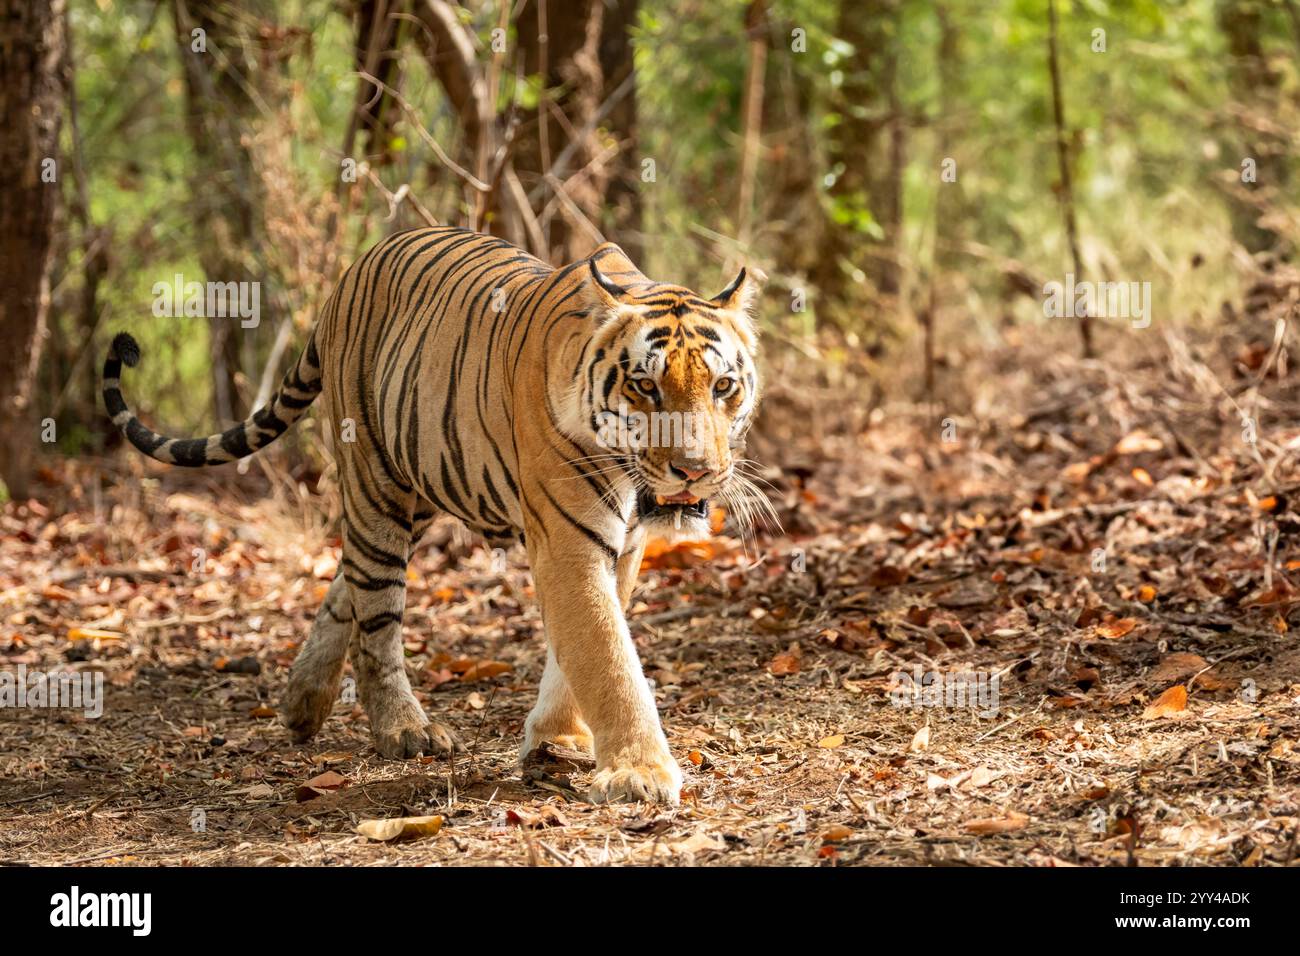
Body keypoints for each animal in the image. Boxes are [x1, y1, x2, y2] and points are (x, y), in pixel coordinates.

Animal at [102, 226, 767, 805]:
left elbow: (576, 648)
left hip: (421, 484)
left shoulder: (619, 546)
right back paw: (403, 729)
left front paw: (558, 739)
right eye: (645, 388)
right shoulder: (570, 541)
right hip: (375, 487)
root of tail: (351, 273)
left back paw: (302, 700)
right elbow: (606, 656)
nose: (694, 470)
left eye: (723, 386)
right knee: (376, 616)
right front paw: (639, 773)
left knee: (347, 581)